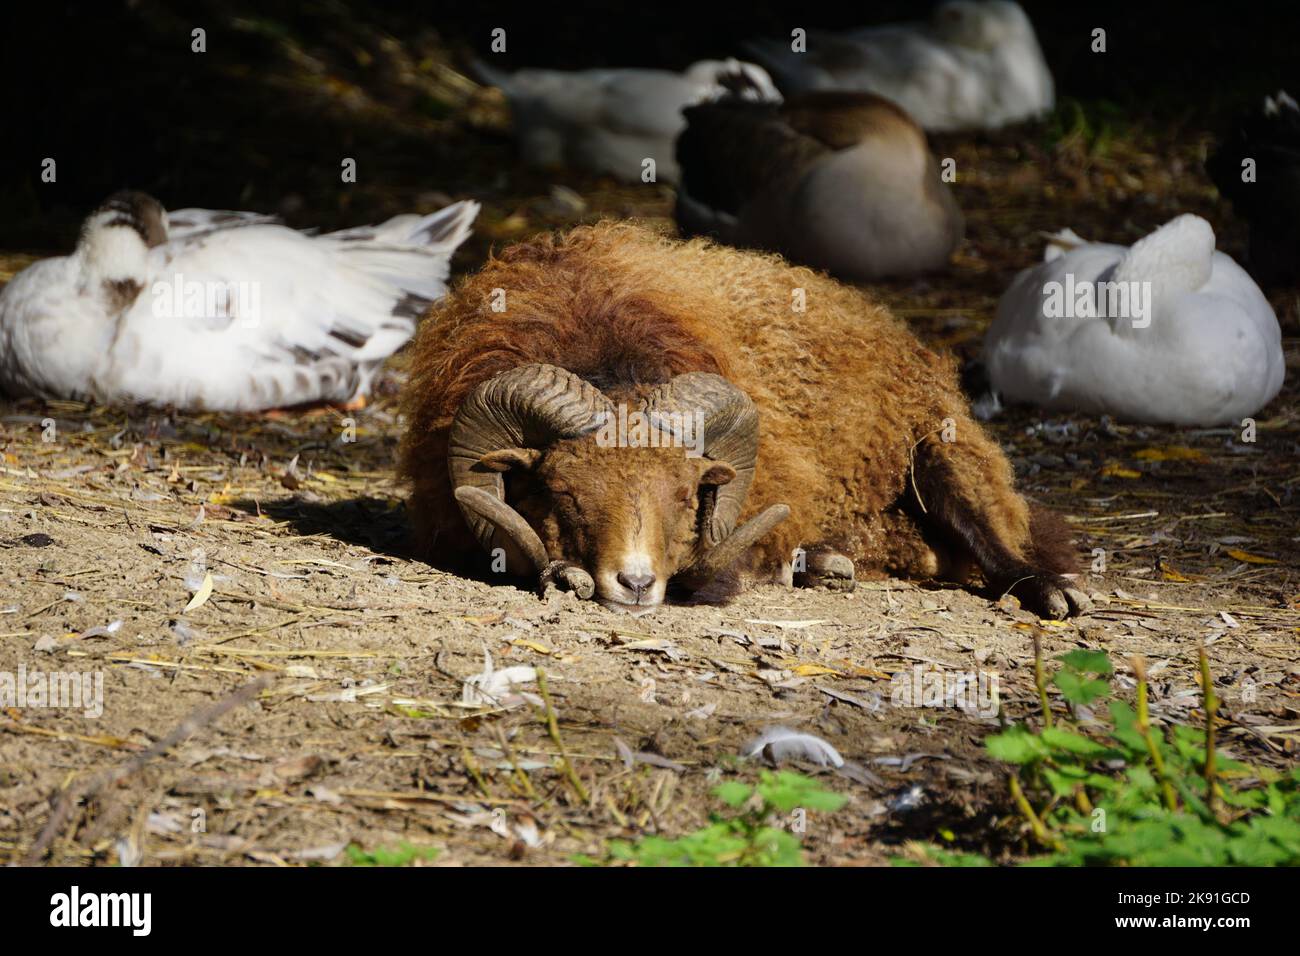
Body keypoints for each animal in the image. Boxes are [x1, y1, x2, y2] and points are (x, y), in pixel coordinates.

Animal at [398, 222, 1090, 619]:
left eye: (687, 495)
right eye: (561, 492)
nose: (636, 583)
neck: (600, 343)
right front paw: (563, 573)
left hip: (940, 445)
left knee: (990, 537)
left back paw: (1050, 590)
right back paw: (827, 561)